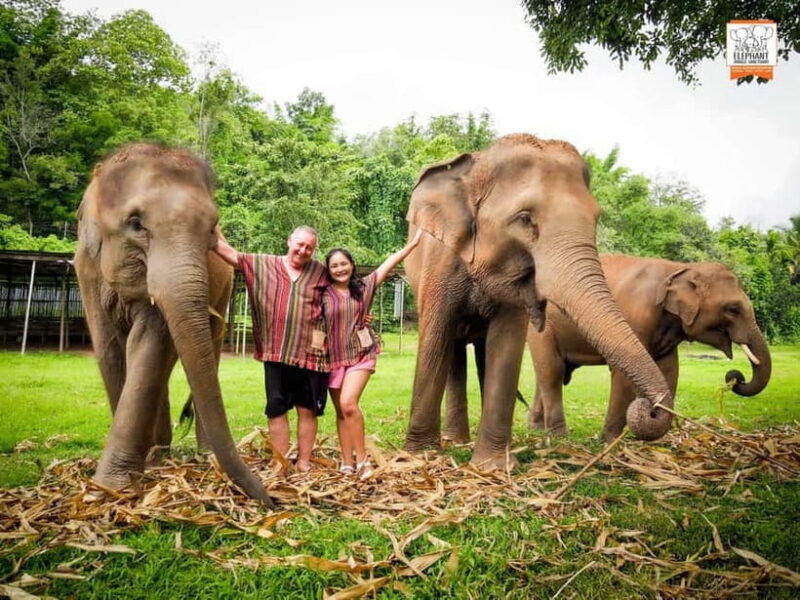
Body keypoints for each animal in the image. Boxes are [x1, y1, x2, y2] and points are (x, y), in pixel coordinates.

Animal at [74, 143, 273, 505]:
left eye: (211, 228)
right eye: (135, 224)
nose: (271, 500)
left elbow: (148, 344)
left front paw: (112, 486)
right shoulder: (86, 271)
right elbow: (109, 350)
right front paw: (111, 487)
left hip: (224, 288)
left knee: (205, 347)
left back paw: (196, 455)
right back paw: (158, 455)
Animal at [404, 133, 676, 470]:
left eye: (596, 218)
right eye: (525, 219)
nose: (650, 409)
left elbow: (506, 344)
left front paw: (493, 467)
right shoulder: (440, 261)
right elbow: (436, 335)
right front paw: (420, 457)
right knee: (453, 348)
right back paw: (456, 442)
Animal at [527, 255, 772, 441]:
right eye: (733, 309)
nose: (735, 377)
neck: (680, 268)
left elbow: (670, 371)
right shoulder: (635, 314)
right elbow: (623, 374)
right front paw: (609, 442)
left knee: (547, 372)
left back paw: (536, 431)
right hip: (542, 329)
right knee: (552, 370)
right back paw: (558, 438)